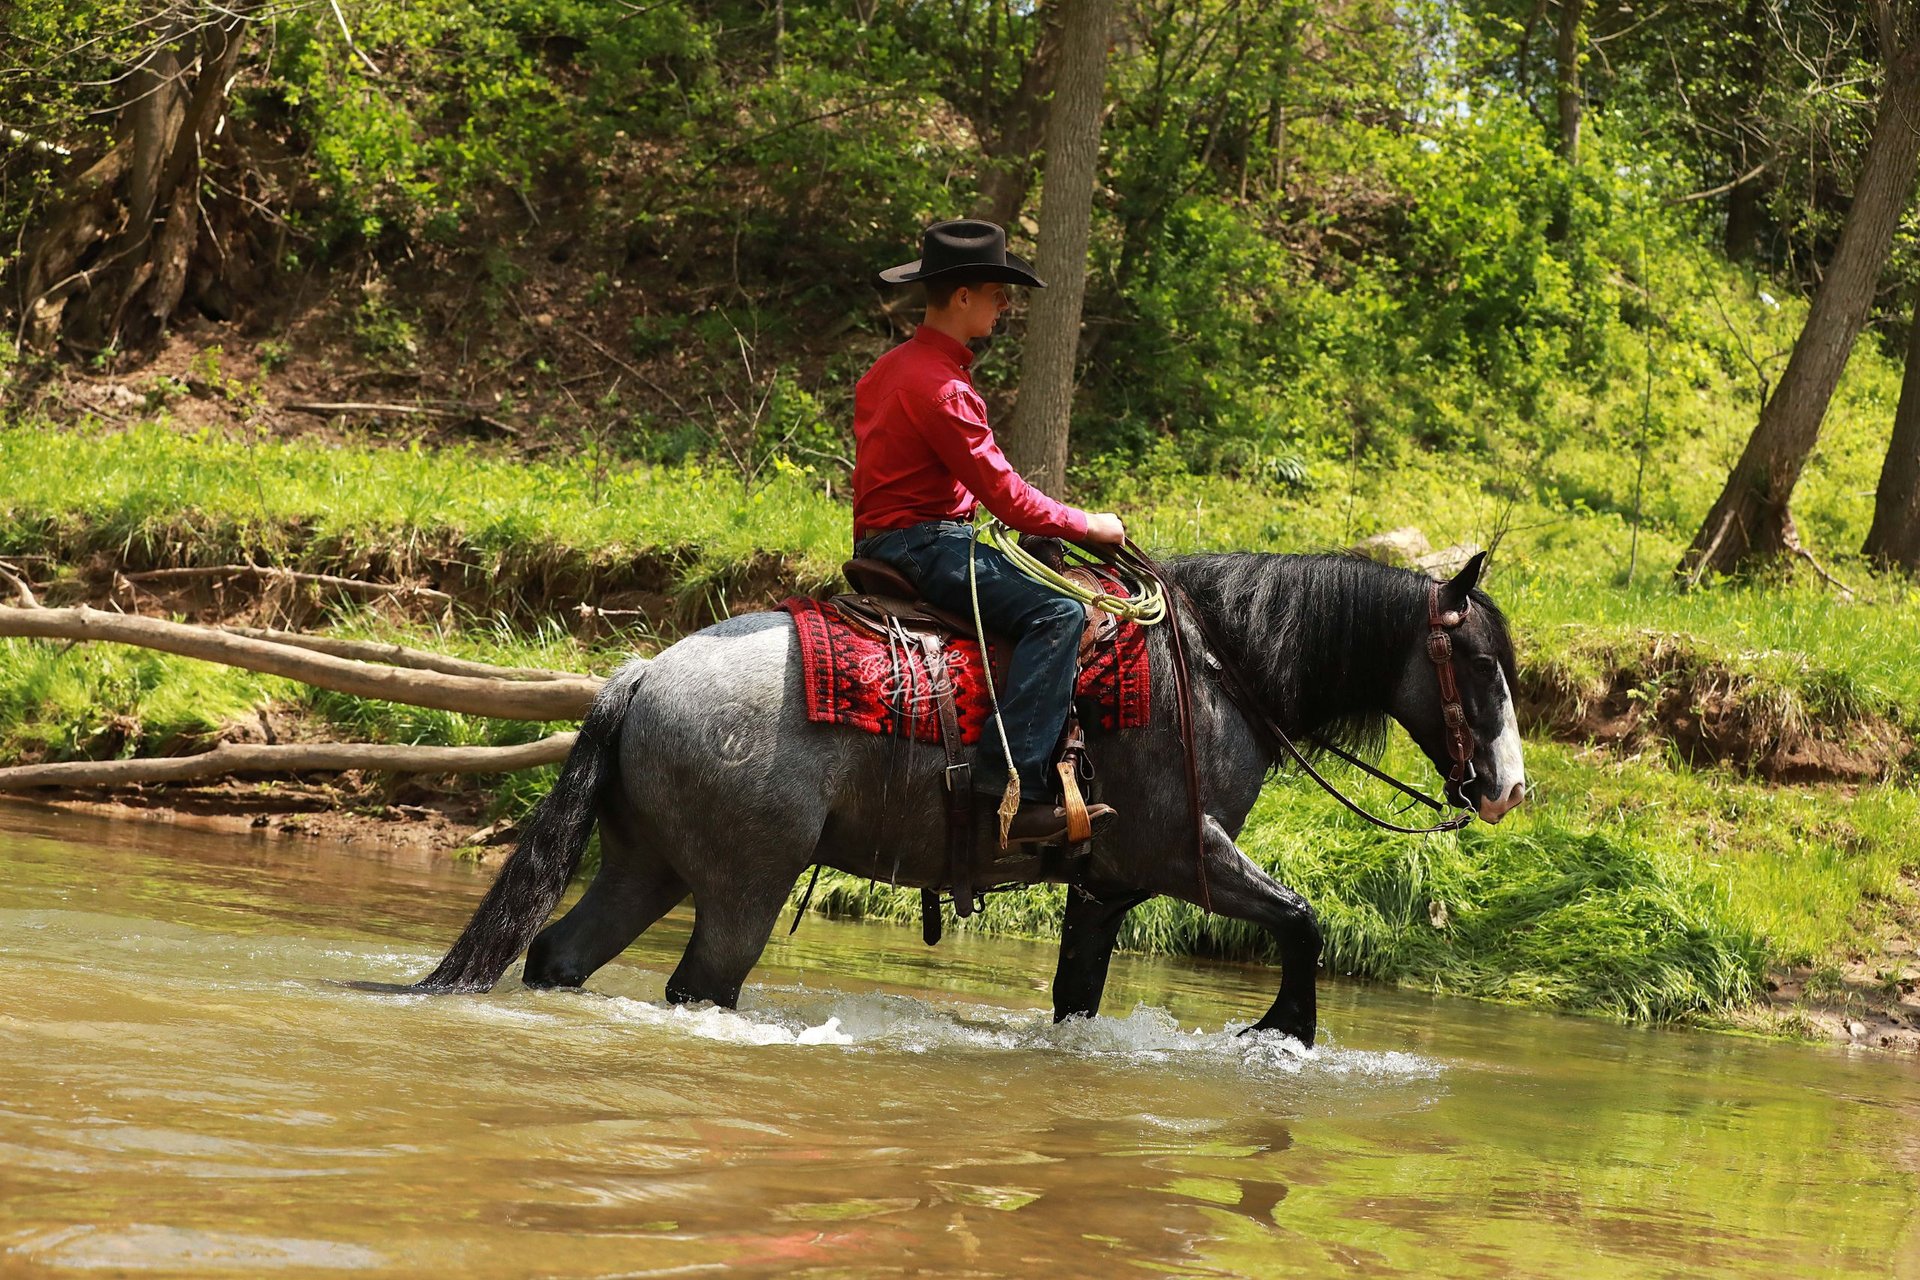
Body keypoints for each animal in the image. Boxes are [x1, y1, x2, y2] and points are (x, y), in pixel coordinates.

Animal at [401, 549, 1525, 1048]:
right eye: (1478, 662)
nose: (1510, 790)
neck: (1211, 671)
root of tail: (642, 673)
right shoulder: (1185, 855)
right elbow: (1302, 917)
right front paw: (1286, 1031)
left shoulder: (1106, 888)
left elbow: (1077, 998)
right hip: (740, 885)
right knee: (701, 985)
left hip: (650, 863)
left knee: (561, 953)